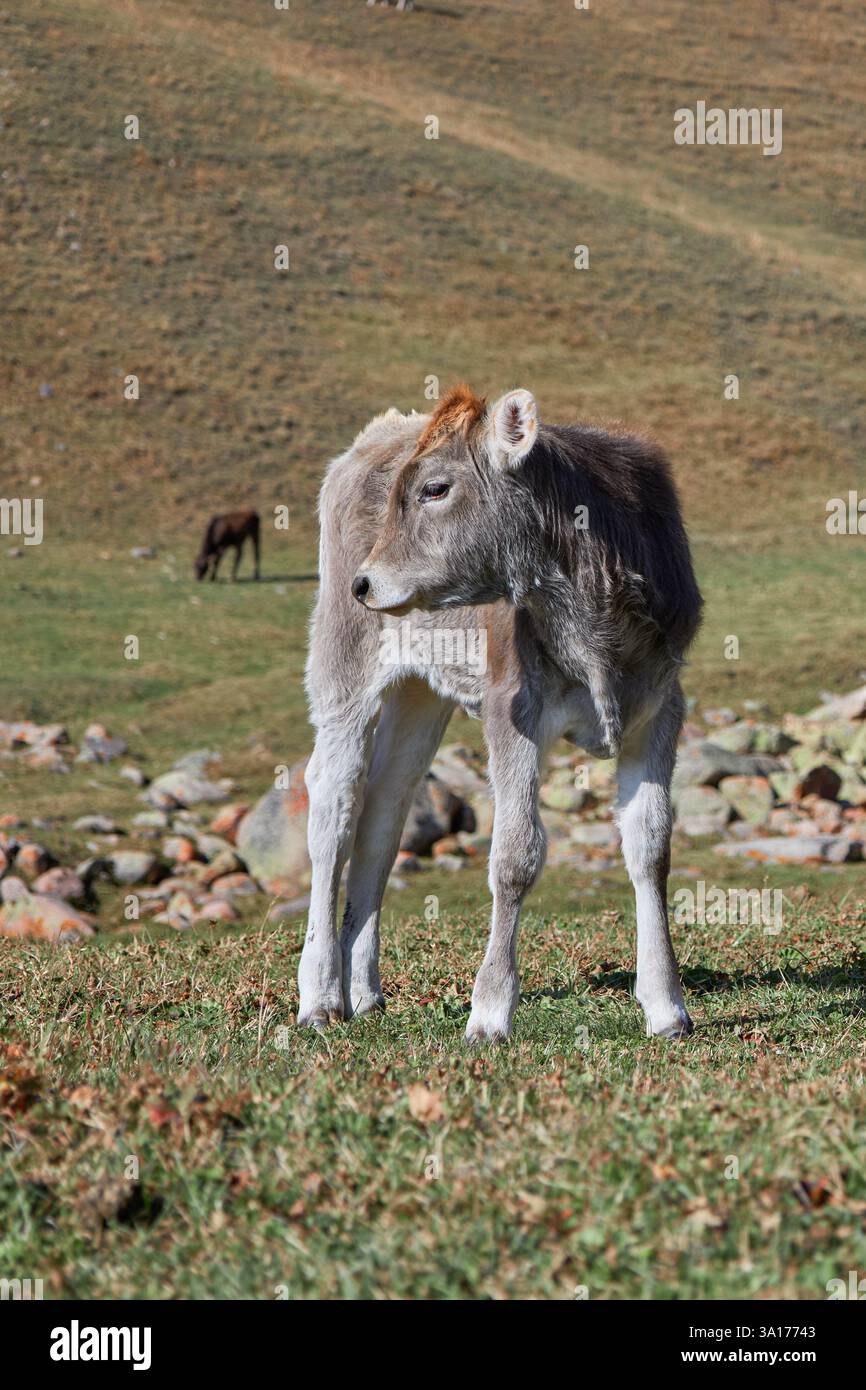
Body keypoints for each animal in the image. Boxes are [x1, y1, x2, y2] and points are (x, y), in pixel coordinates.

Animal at [299, 386, 703, 1043]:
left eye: (435, 488)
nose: (366, 581)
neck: (594, 625)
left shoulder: (661, 708)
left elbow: (651, 847)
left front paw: (666, 1005)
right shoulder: (512, 708)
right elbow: (516, 856)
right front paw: (490, 1010)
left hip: (421, 693)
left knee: (386, 809)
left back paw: (364, 992)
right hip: (342, 663)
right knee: (333, 809)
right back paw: (320, 997)